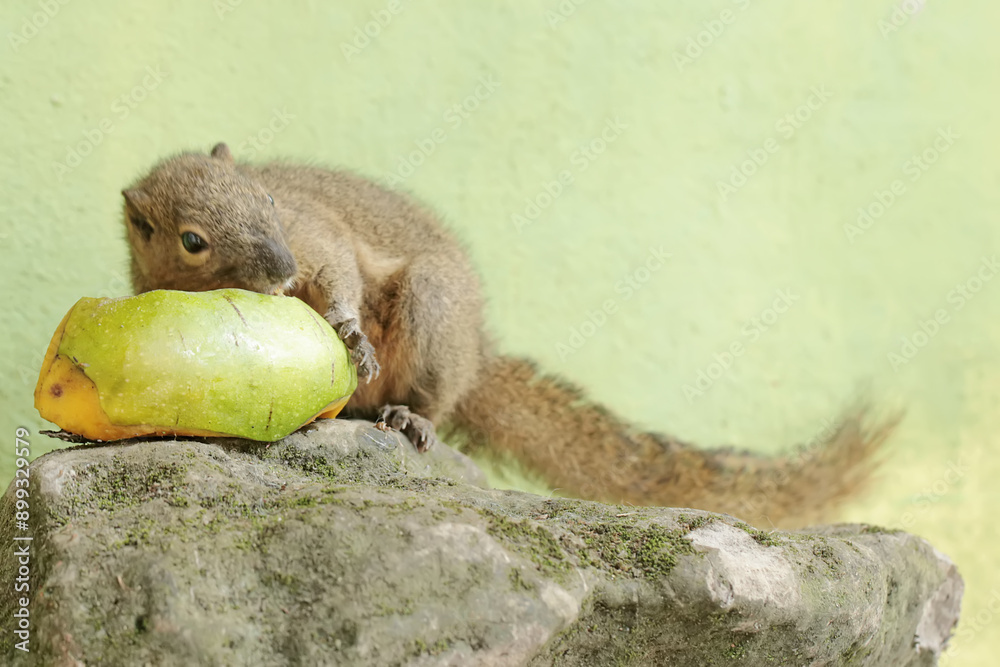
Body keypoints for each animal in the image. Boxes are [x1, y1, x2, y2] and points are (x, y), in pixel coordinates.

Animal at [120, 142, 898, 528]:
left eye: (269, 198)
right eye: (192, 240)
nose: (280, 269)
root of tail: (476, 358)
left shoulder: (317, 235)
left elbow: (338, 273)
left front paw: (347, 329)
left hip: (433, 312)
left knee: (431, 398)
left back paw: (408, 415)